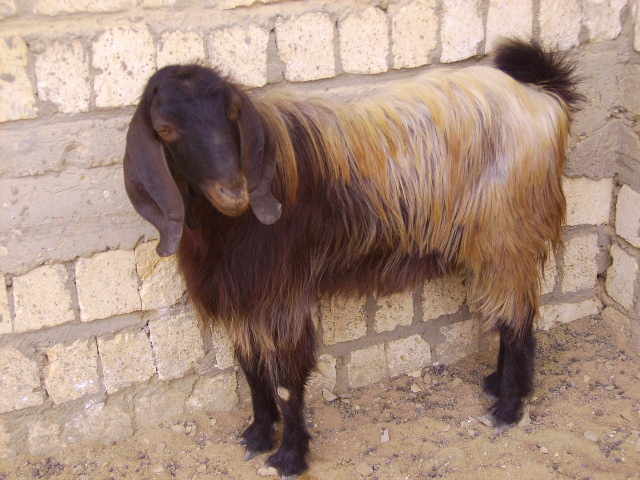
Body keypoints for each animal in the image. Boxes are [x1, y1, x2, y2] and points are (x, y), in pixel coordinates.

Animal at [123, 39, 581, 479]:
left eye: (234, 113)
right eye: (165, 129)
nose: (234, 193)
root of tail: (541, 95)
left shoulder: (281, 294)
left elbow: (286, 379)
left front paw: (289, 457)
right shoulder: (242, 297)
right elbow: (252, 369)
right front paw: (257, 435)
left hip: (508, 236)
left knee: (518, 316)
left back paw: (508, 407)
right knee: (508, 314)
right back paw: (496, 383)